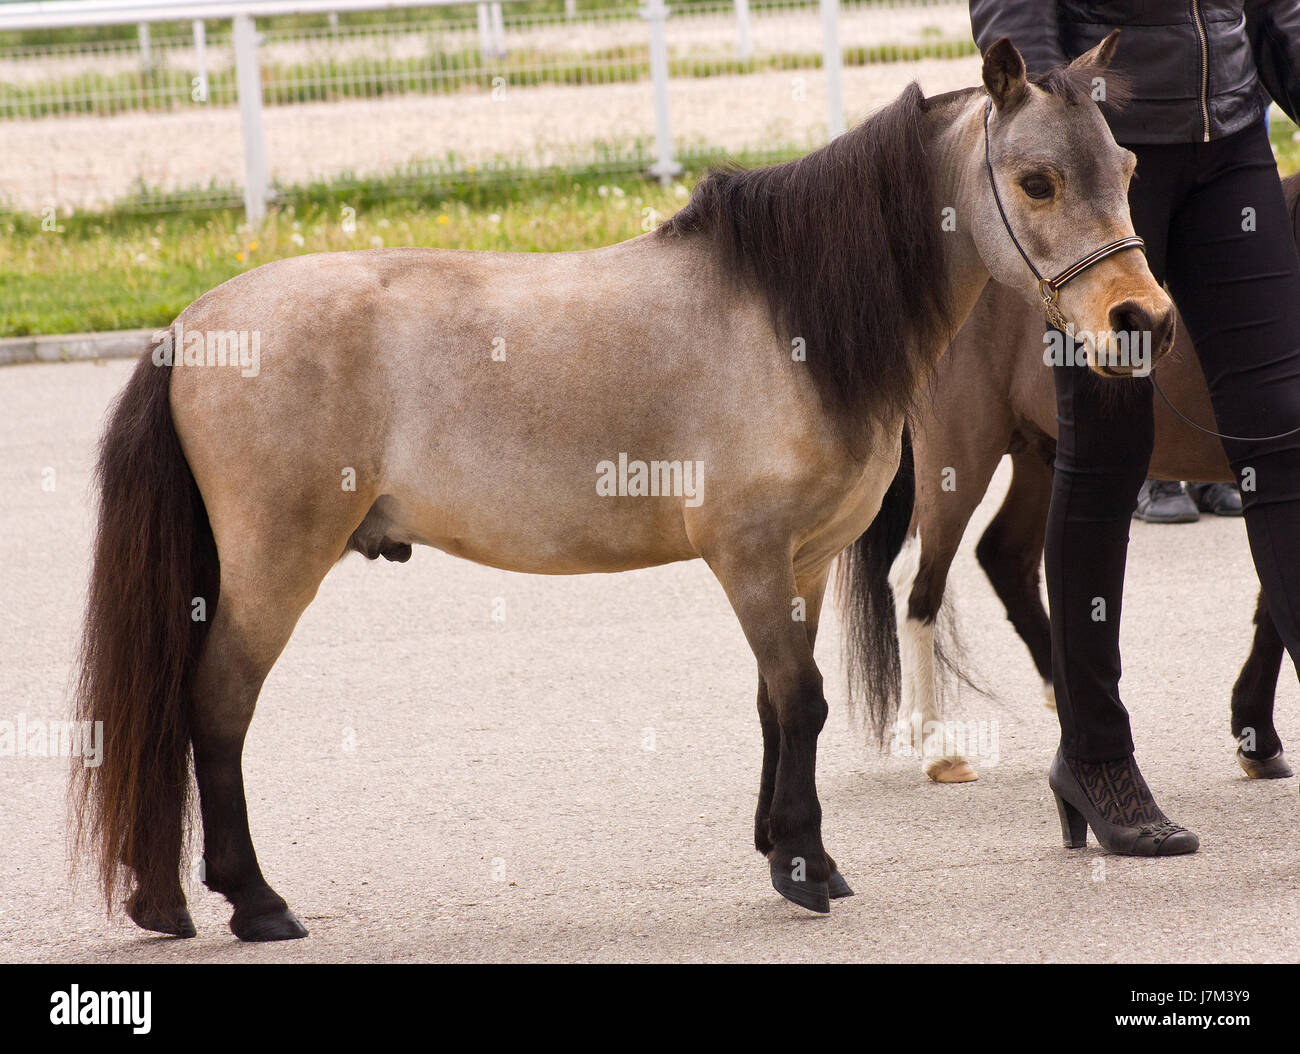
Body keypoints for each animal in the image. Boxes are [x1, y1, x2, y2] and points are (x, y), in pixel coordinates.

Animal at [74, 34, 1171, 941]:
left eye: (1125, 170)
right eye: (1035, 180)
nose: (1142, 322)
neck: (788, 318)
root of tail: (193, 326)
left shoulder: (803, 563)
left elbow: (778, 704)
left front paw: (782, 847)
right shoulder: (748, 555)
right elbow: (804, 700)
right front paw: (807, 868)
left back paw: (168, 898)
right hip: (273, 568)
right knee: (216, 705)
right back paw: (255, 901)